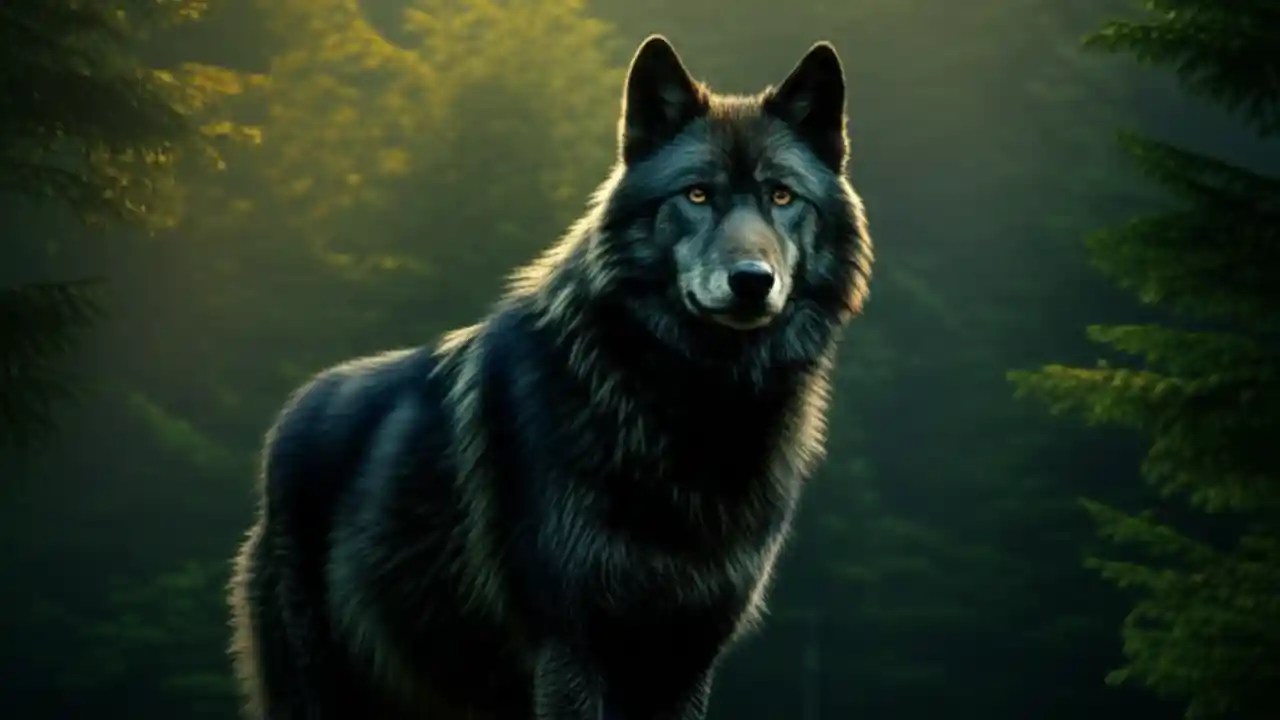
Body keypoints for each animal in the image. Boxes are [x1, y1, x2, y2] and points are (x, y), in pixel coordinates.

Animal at [229, 34, 872, 720]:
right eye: (698, 195)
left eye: (782, 197)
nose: (752, 280)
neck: (687, 407)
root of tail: (292, 413)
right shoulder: (571, 646)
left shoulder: (687, 659)